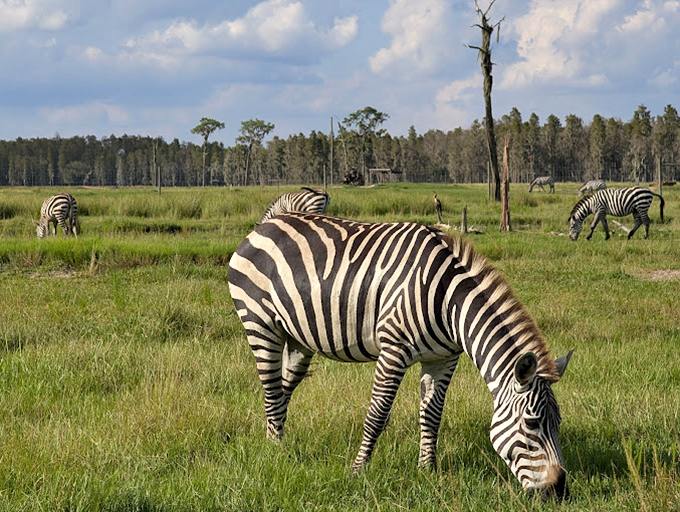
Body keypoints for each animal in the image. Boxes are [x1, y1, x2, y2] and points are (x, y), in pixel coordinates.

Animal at [228, 212, 574, 500]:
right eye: (531, 424)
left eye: (558, 423)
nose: (559, 491)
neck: (449, 302)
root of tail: (266, 224)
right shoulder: (393, 350)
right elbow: (377, 414)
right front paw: (358, 471)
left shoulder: (443, 358)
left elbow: (432, 414)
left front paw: (428, 470)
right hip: (260, 323)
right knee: (271, 389)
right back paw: (276, 452)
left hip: (298, 338)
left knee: (284, 388)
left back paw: (277, 440)